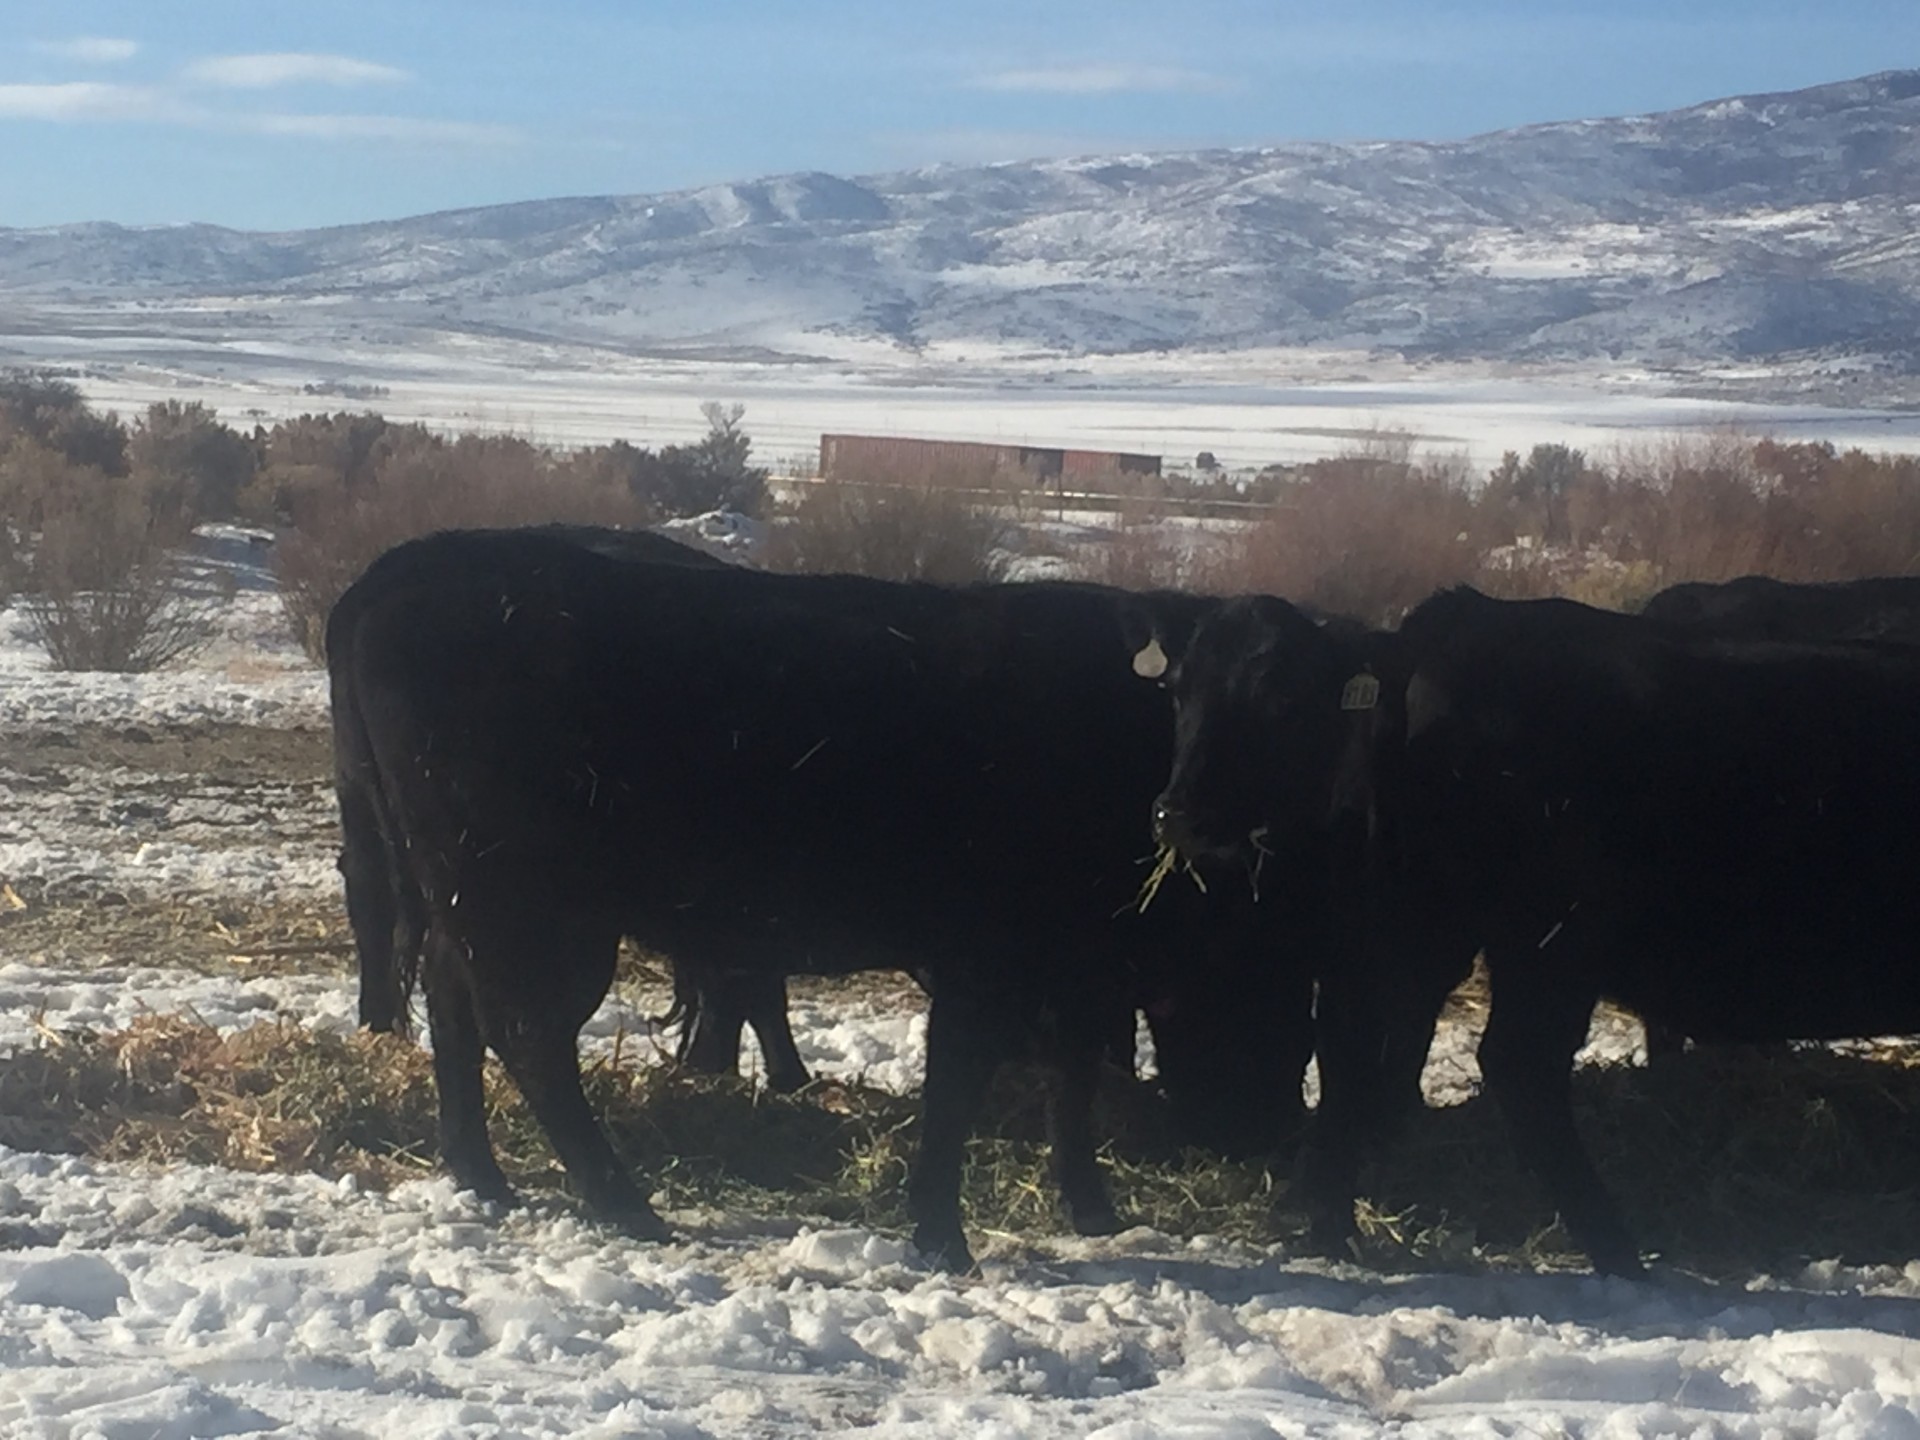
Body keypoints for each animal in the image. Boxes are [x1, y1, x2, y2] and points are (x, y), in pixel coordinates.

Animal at [338, 529, 1316, 1267]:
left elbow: (1068, 1078)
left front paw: (1091, 1208)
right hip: (528, 902)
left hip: (470, 895)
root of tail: (410, 567)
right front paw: (942, 1235)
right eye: (1275, 1006)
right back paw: (623, 1204)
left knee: (455, 1000)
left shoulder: (1071, 966)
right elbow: (957, 1081)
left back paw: (482, 1175)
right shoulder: (985, 955)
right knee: (527, 1032)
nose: (1264, 1136)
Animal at [1148, 585, 1920, 1275]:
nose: (1176, 813)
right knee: (1517, 1065)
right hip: (1547, 937)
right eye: (1176, 691)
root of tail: (1457, 620)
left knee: (1360, 1046)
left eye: (1279, 696)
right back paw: (1618, 1254)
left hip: (1422, 922)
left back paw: (1332, 1232)